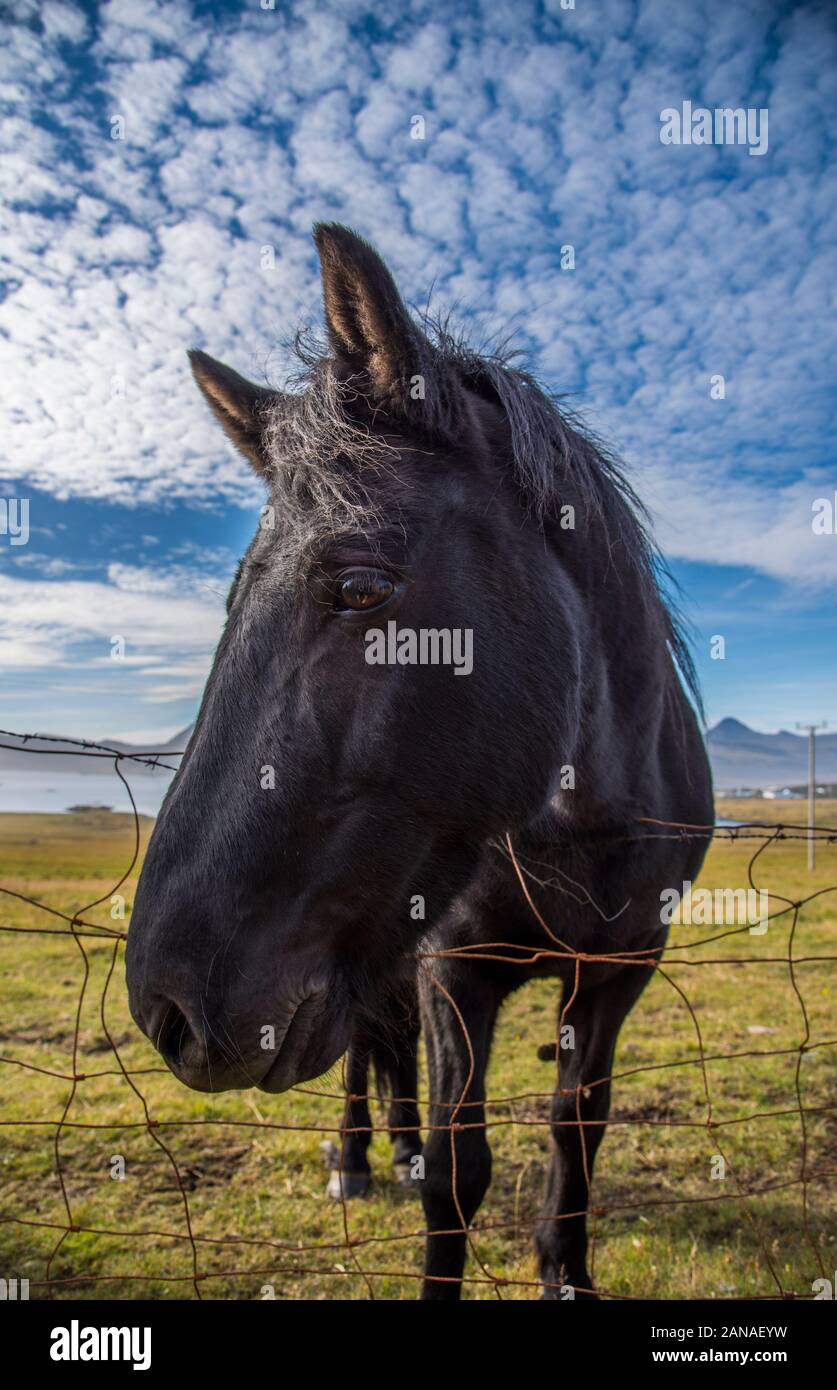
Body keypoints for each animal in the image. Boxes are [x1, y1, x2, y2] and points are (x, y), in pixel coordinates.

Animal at [125, 222, 713, 1299]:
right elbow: (457, 1171)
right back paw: (362, 1155)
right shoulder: (454, 971)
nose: (165, 1006)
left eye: (361, 586)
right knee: (369, 1054)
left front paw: (564, 1266)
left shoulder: (618, 971)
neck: (580, 822)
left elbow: (577, 1125)